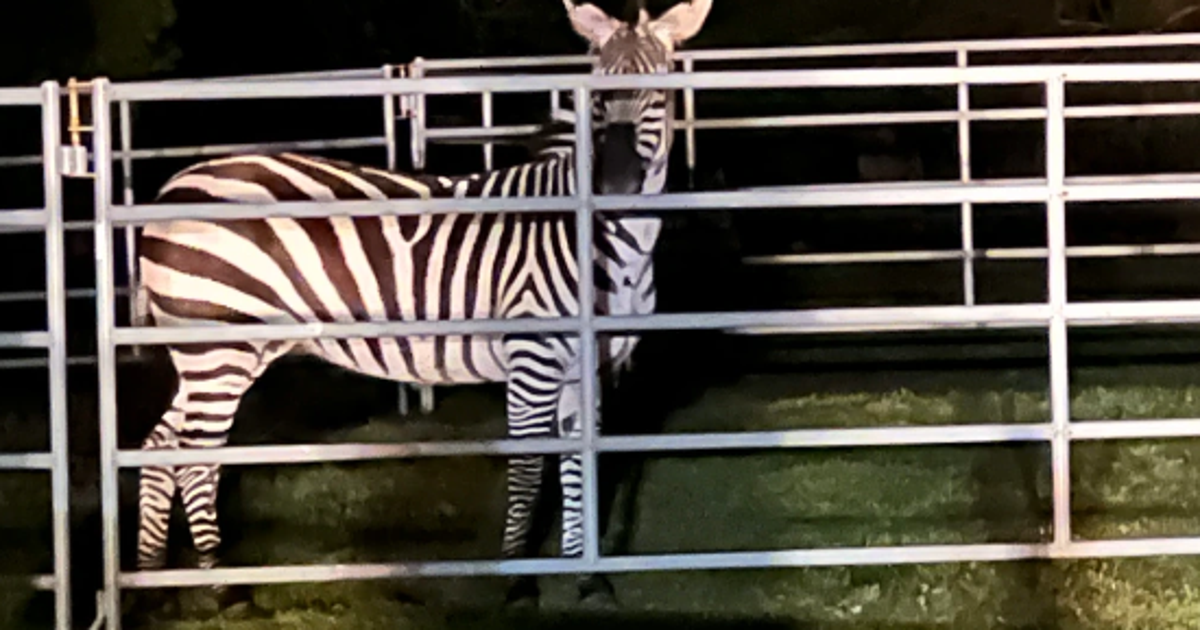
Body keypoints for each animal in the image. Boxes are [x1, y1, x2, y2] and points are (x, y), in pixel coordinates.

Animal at [130, 0, 713, 611]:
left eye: (660, 92)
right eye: (596, 97)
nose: (617, 181)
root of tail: (175, 184)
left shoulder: (588, 366)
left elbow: (581, 464)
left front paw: (587, 577)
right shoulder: (531, 357)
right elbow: (529, 469)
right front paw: (517, 581)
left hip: (217, 353)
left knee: (160, 447)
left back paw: (152, 583)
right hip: (219, 346)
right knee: (196, 457)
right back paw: (224, 589)